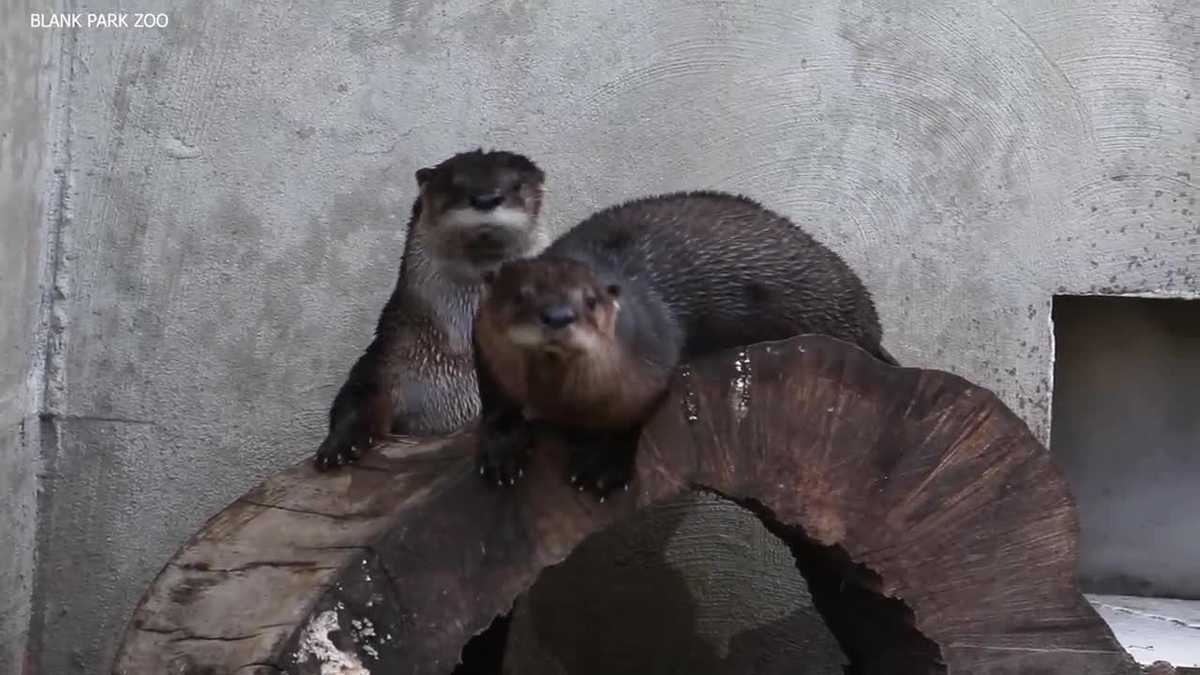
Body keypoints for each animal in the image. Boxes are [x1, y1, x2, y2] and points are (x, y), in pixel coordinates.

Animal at [313, 149, 550, 470]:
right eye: (455, 185)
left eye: (516, 185)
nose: (487, 198)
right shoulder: (386, 357)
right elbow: (357, 394)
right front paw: (339, 444)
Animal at [473, 190, 897, 495]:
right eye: (521, 296)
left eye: (590, 301)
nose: (558, 317)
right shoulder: (488, 349)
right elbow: (495, 403)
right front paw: (503, 451)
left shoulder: (650, 361)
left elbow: (632, 415)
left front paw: (603, 465)